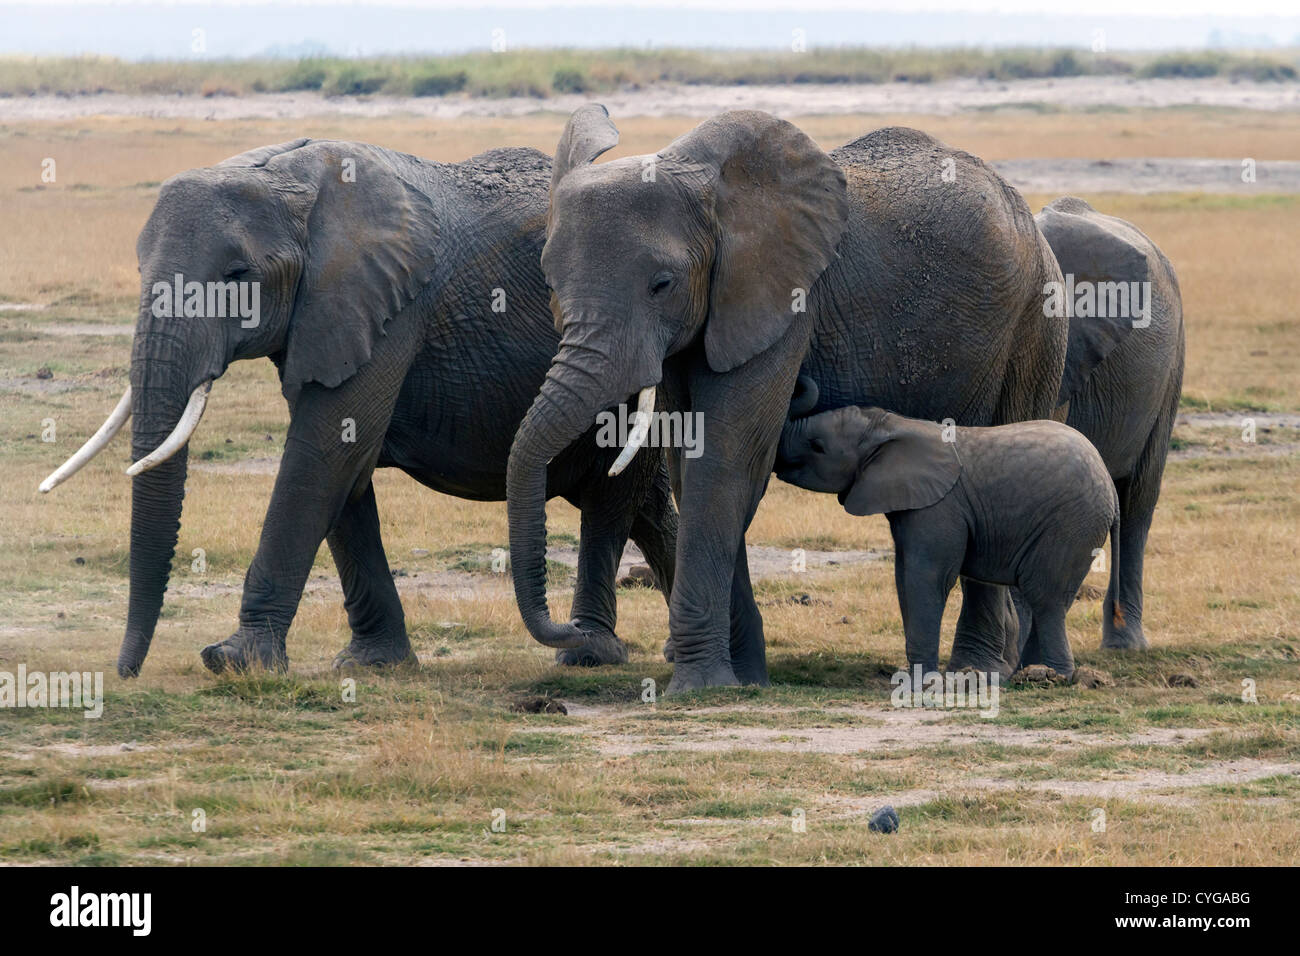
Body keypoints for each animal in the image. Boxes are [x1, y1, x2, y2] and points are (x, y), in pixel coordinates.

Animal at [39, 138, 678, 678]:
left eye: (238, 275)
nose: (126, 672)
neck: (292, 177)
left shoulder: (390, 307)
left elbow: (324, 453)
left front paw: (233, 661)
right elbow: (345, 465)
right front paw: (373, 665)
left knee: (612, 497)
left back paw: (590, 654)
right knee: (646, 505)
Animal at [506, 106, 1067, 694]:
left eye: (662, 284)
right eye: (550, 284)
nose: (574, 634)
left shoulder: (784, 299)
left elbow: (727, 462)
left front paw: (701, 687)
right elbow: (693, 465)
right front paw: (746, 679)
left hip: (1035, 322)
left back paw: (980, 671)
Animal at [775, 406, 1123, 679]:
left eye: (817, 446)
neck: (890, 425)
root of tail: (1110, 484)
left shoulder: (941, 507)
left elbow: (928, 577)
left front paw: (922, 680)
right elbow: (903, 577)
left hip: (1071, 523)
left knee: (1046, 597)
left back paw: (1054, 677)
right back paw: (1032, 674)